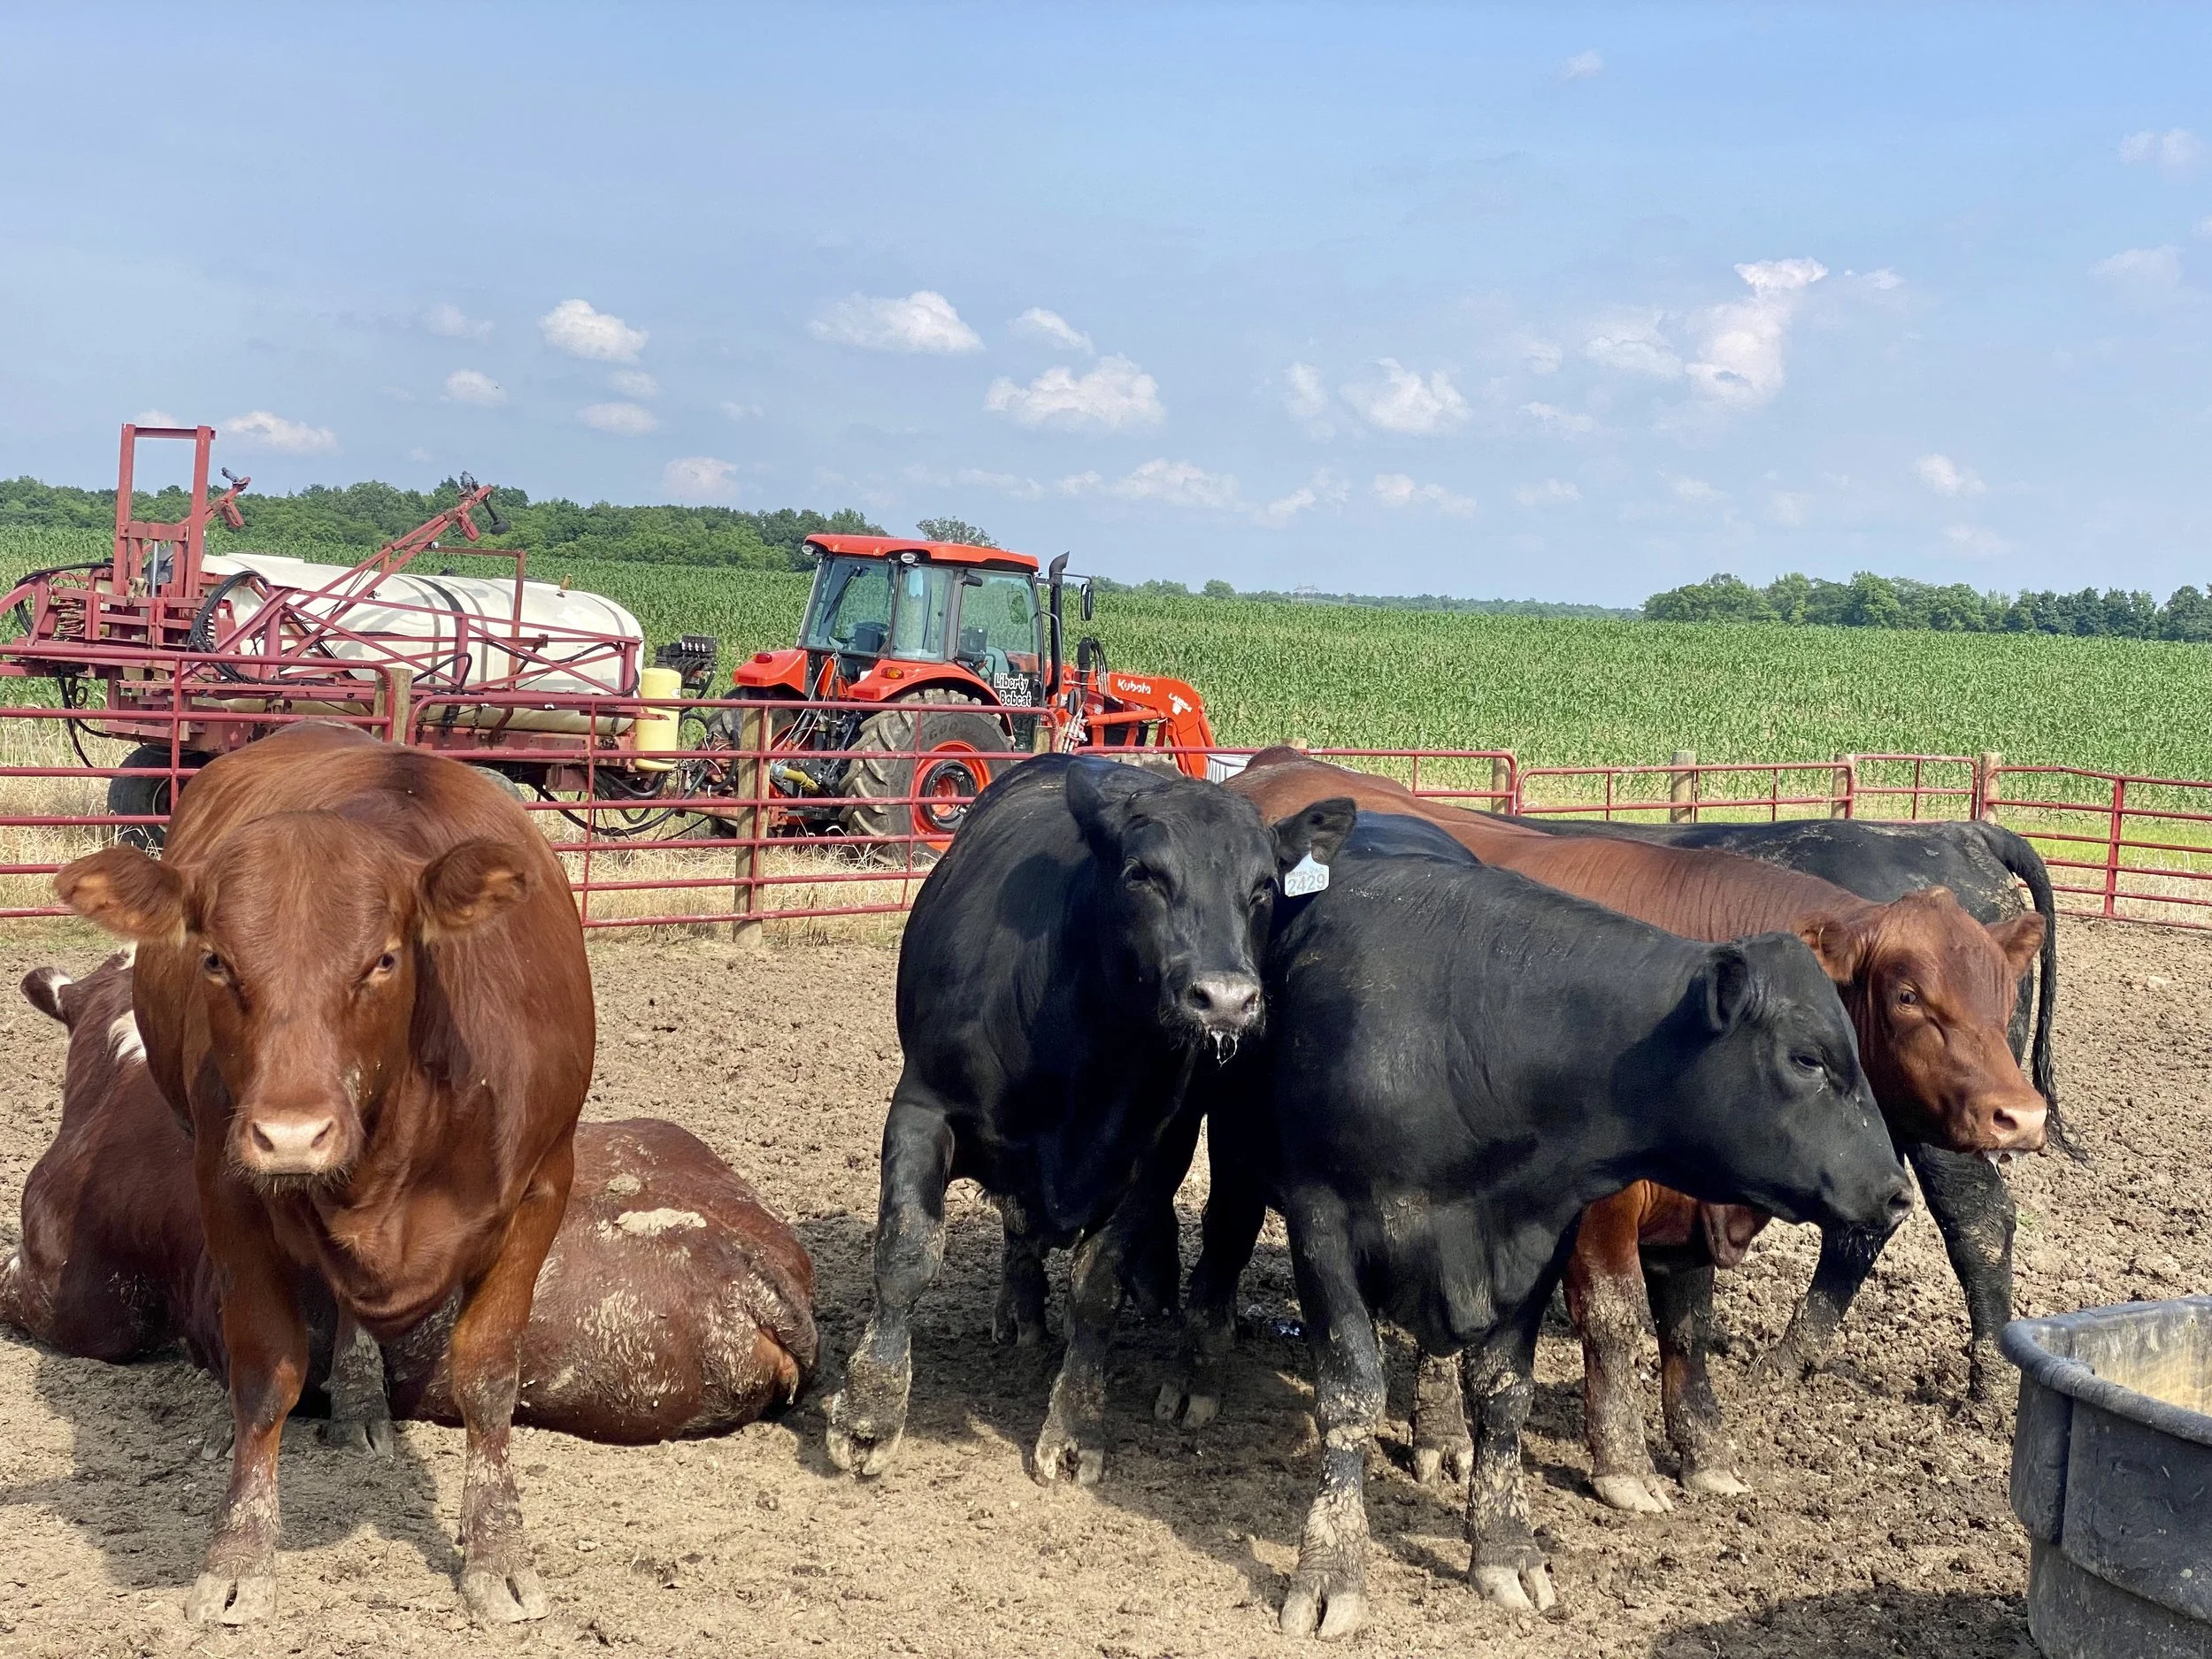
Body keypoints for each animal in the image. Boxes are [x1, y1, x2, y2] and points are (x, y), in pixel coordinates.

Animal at [54, 722, 592, 1626]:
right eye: (215, 960)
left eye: (383, 959)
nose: (292, 1134)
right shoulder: (228, 1187)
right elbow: (264, 1374)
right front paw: (238, 1556)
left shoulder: (542, 1185)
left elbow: (488, 1377)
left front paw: (499, 1555)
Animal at [822, 754, 1354, 1488]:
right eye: (1143, 874)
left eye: (1264, 887)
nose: (1225, 999)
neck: (1084, 1046)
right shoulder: (921, 1109)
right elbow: (906, 1250)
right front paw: (869, 1412)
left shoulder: (1153, 1154)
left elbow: (1098, 1287)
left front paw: (1075, 1428)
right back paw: (1017, 1312)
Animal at [1195, 814, 1911, 1635]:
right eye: (1807, 1058)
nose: (1899, 1193)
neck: (1462, 1033)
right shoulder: (1325, 1230)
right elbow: (1349, 1397)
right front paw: (1331, 1569)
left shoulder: (1533, 1237)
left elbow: (1504, 1395)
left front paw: (1505, 1549)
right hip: (1235, 1163)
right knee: (1220, 1248)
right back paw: (1196, 1383)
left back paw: (1440, 1434)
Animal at [1212, 750, 2046, 1508]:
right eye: (1908, 994)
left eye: (2002, 992)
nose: (2021, 1114)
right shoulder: (1595, 1210)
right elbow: (1616, 1319)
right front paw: (1624, 1464)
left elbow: (1687, 1328)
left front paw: (1704, 1453)